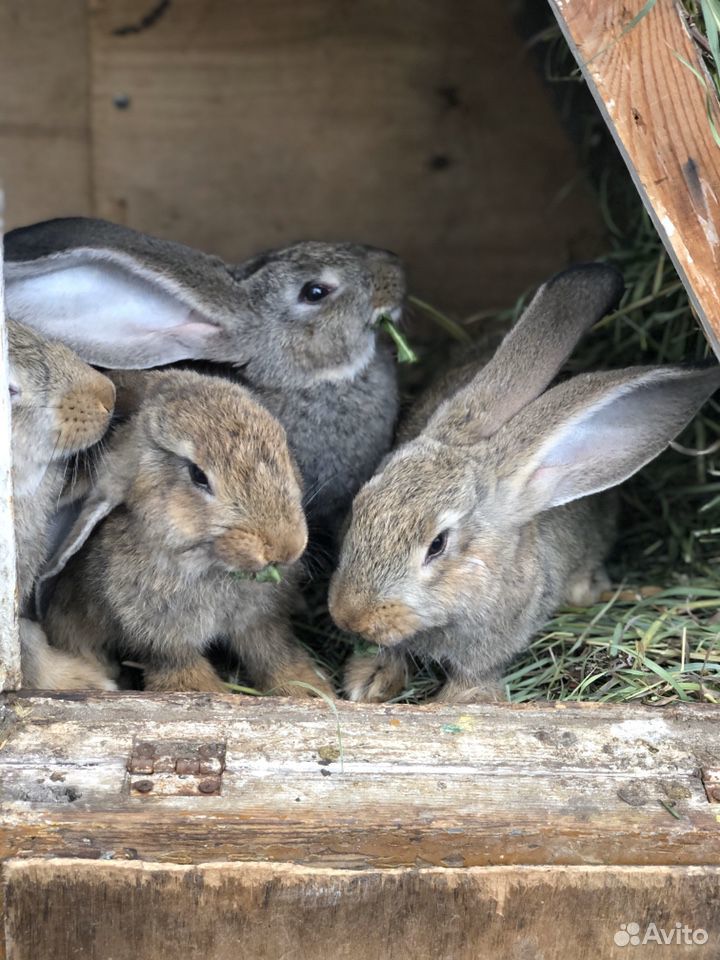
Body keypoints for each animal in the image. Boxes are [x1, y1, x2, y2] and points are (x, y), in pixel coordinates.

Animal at [41, 367, 333, 695]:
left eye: (284, 446)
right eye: (198, 476)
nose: (287, 547)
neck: (204, 566)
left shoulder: (260, 623)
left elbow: (274, 652)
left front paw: (312, 691)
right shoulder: (160, 639)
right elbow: (181, 667)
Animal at [328, 264, 720, 703]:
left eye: (438, 544)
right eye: (360, 505)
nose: (348, 615)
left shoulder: (491, 647)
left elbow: (473, 677)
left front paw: (459, 699)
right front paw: (368, 681)